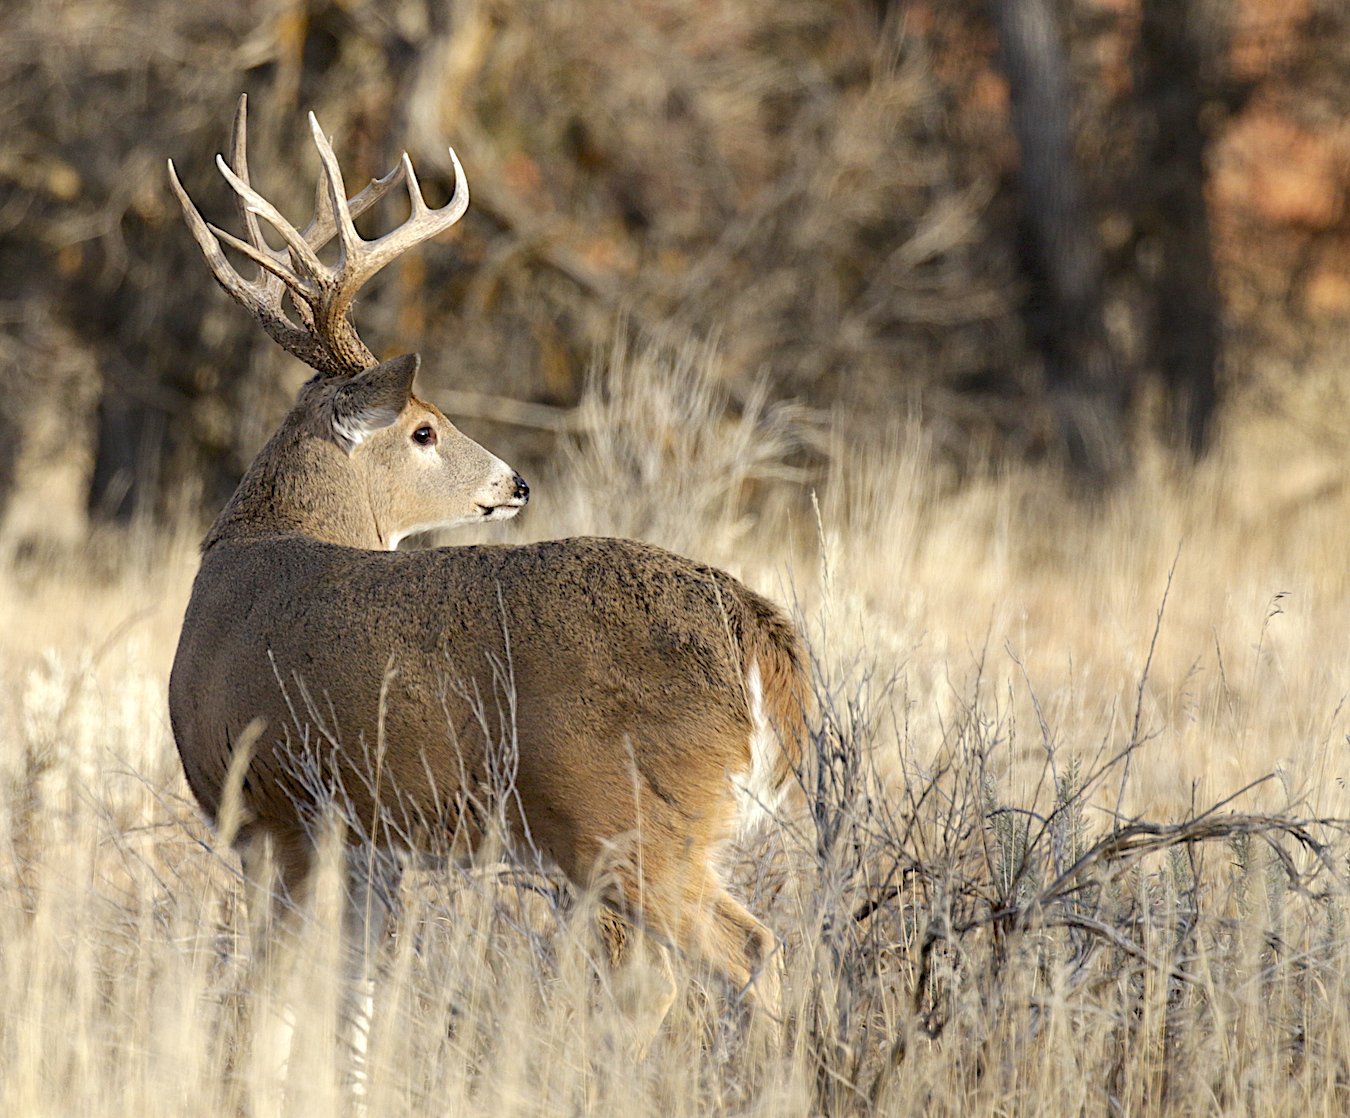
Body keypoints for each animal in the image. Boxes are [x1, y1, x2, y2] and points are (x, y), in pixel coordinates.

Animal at [166, 96, 808, 1065]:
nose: (516, 482)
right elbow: (351, 1006)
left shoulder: (273, 815)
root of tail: (746, 618)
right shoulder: (363, 845)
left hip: (624, 818)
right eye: (424, 430)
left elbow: (270, 1003)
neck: (250, 550)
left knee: (739, 955)